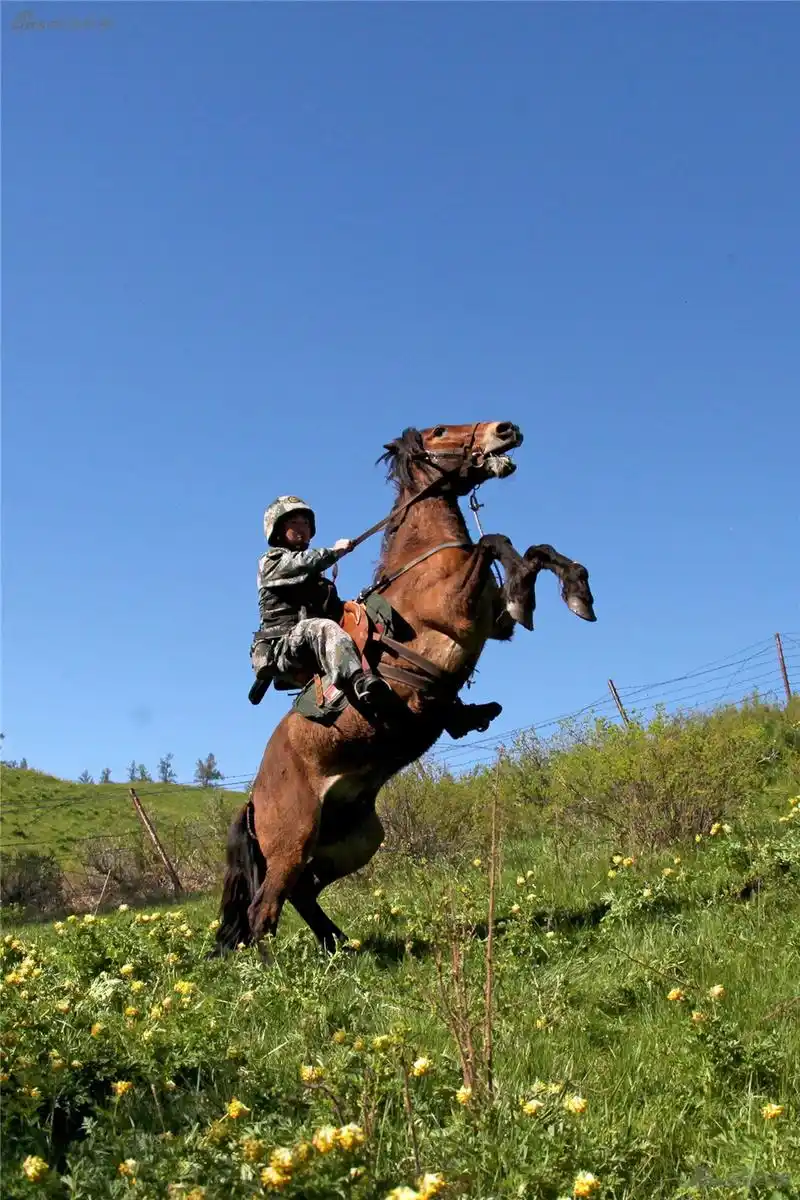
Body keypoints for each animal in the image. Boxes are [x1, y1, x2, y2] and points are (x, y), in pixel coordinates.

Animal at [214, 420, 595, 956]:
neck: (422, 562)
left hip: (352, 841)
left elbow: (535, 550)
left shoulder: (491, 623)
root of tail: (252, 799)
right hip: (292, 840)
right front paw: (528, 588)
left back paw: (340, 948)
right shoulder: (460, 611)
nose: (506, 430)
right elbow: (496, 543)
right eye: (439, 431)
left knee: (302, 893)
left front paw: (577, 588)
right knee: (262, 910)